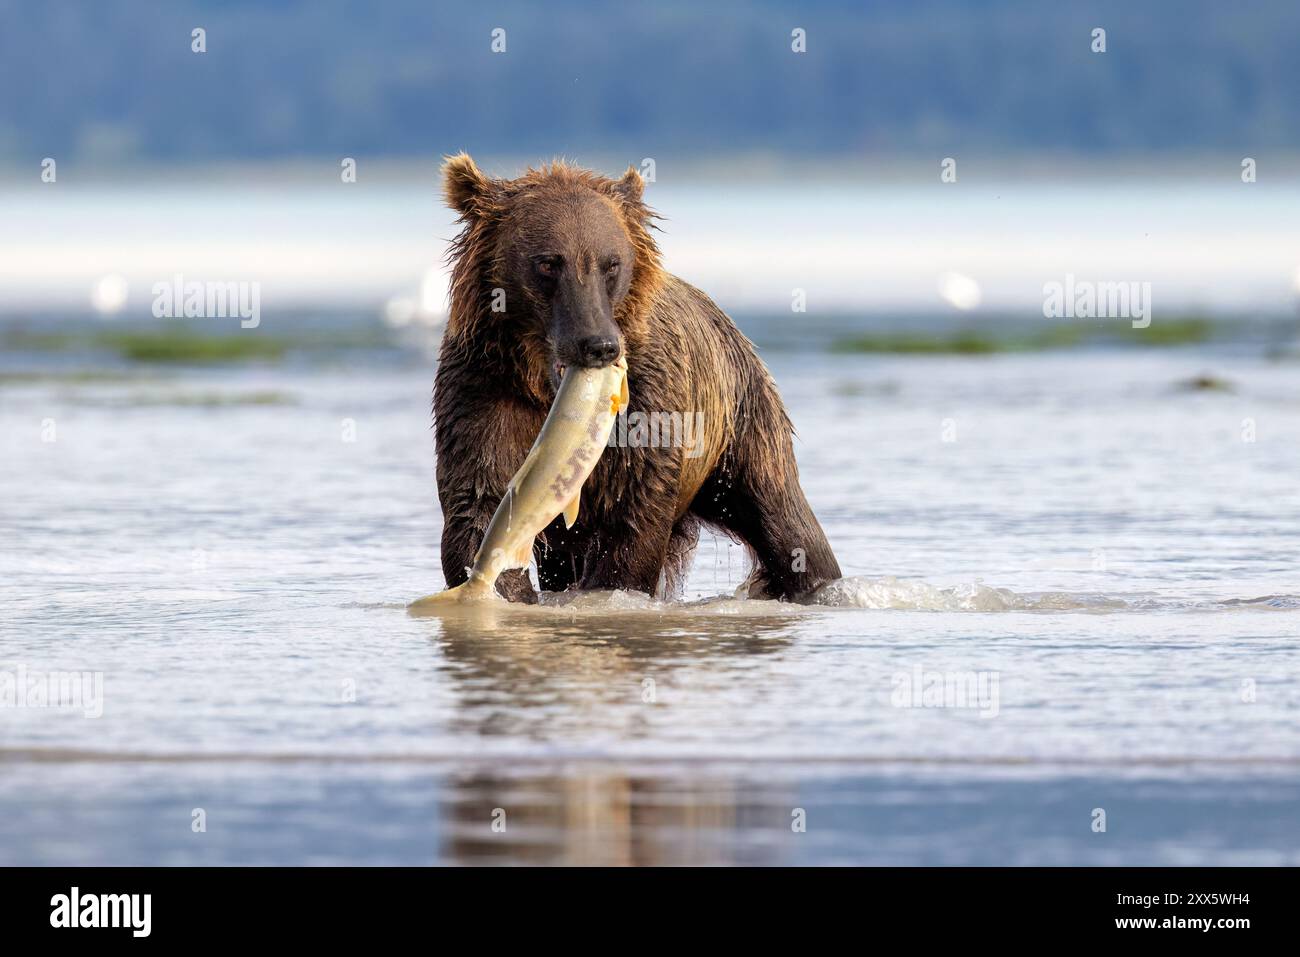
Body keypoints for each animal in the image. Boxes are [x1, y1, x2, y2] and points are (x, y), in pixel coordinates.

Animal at [433, 154, 841, 603]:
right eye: (548, 262)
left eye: (610, 263)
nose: (599, 345)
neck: (543, 387)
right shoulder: (484, 388)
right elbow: (479, 498)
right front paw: (498, 590)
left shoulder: (651, 401)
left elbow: (634, 514)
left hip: (741, 422)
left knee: (785, 520)